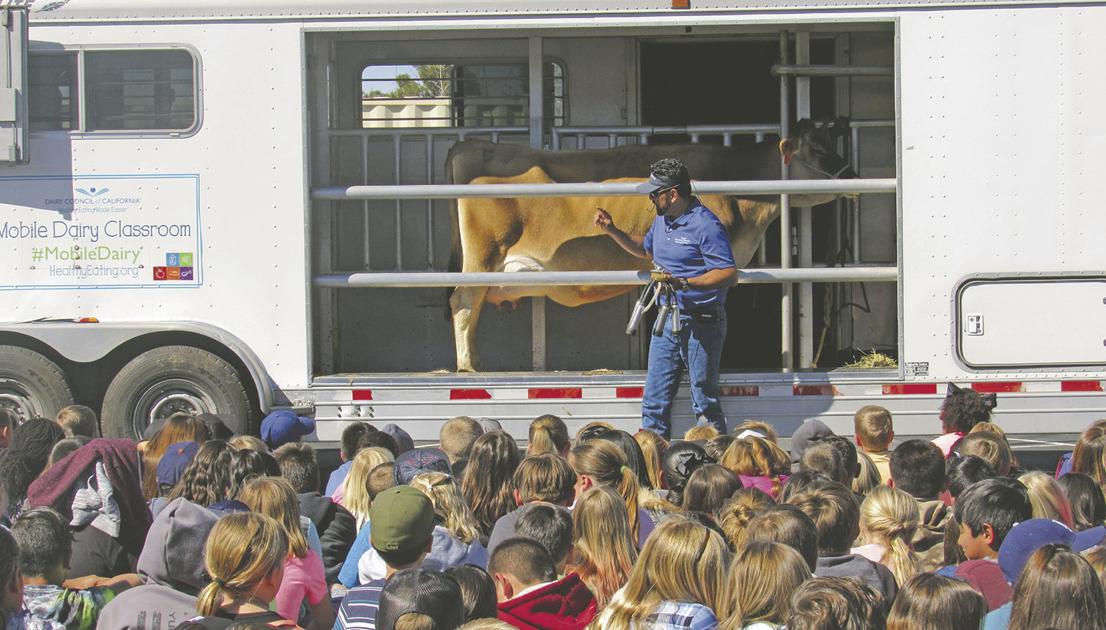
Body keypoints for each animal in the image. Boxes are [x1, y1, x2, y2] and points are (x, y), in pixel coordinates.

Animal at [446, 118, 856, 372]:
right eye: (818, 149)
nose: (852, 175)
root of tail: (471, 143)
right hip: (484, 256)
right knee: (464, 301)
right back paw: (469, 366)